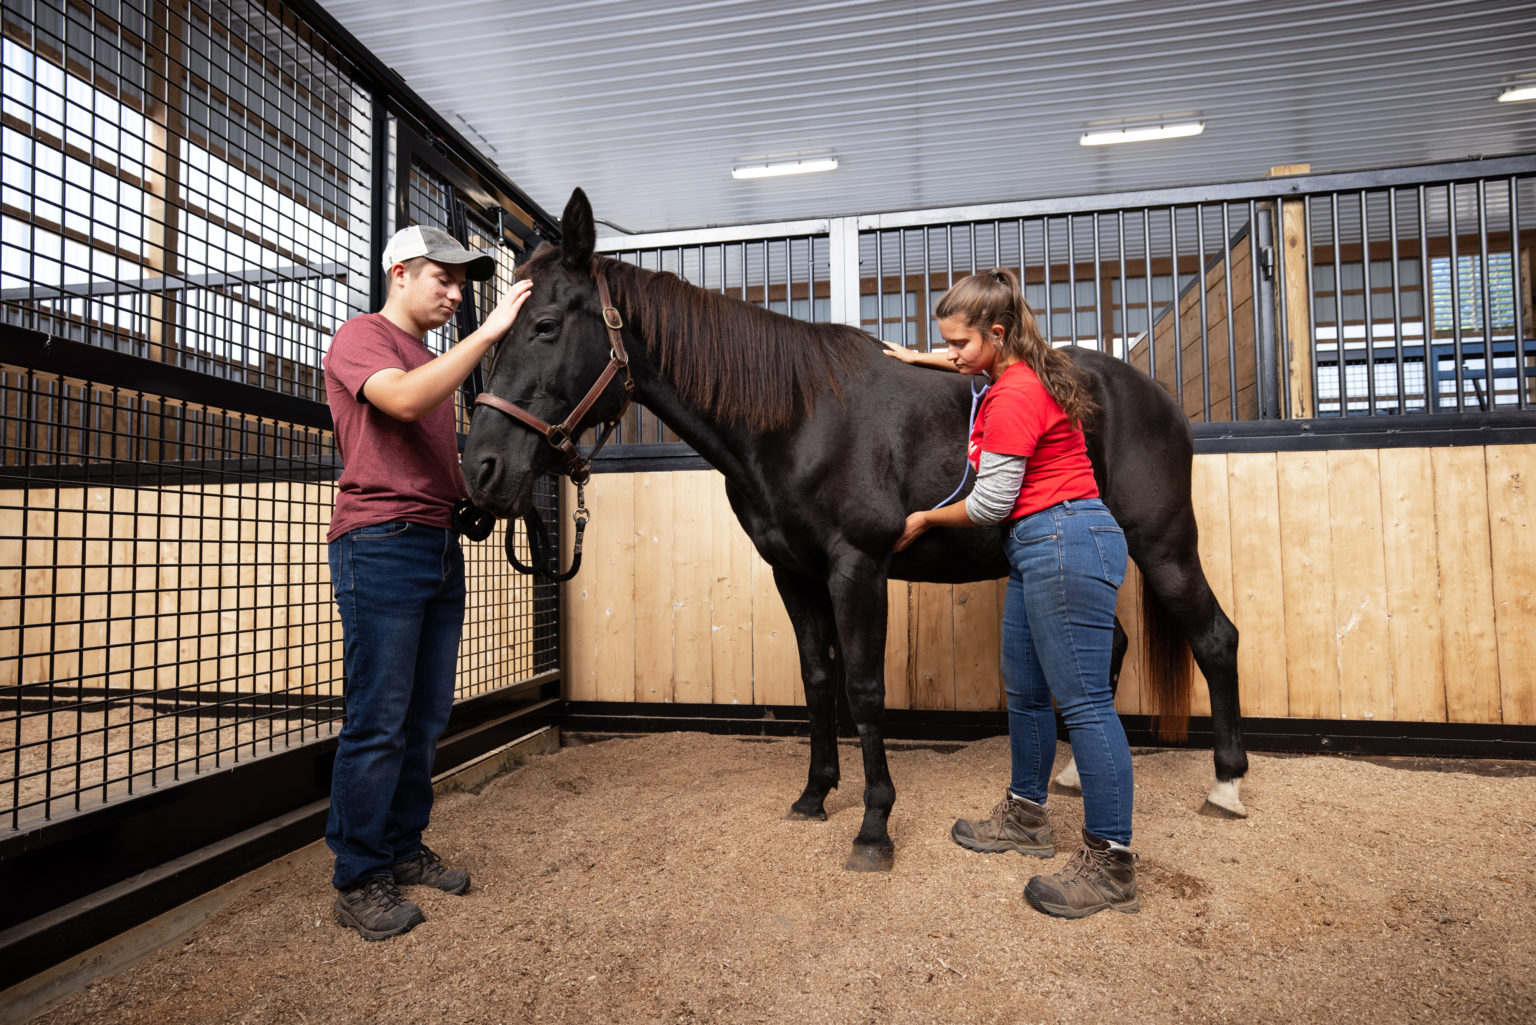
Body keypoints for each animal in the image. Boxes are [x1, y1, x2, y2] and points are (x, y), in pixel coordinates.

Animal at [463, 188, 1248, 872]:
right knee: (1107, 647)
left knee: (1215, 637)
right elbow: (819, 680)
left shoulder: (858, 567)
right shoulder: (795, 573)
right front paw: (815, 794)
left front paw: (874, 826)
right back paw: (1075, 777)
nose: (482, 468)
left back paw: (1228, 784)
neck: (798, 417)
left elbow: (865, 688)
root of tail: (1154, 396)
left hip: (1164, 545)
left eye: (545, 326)